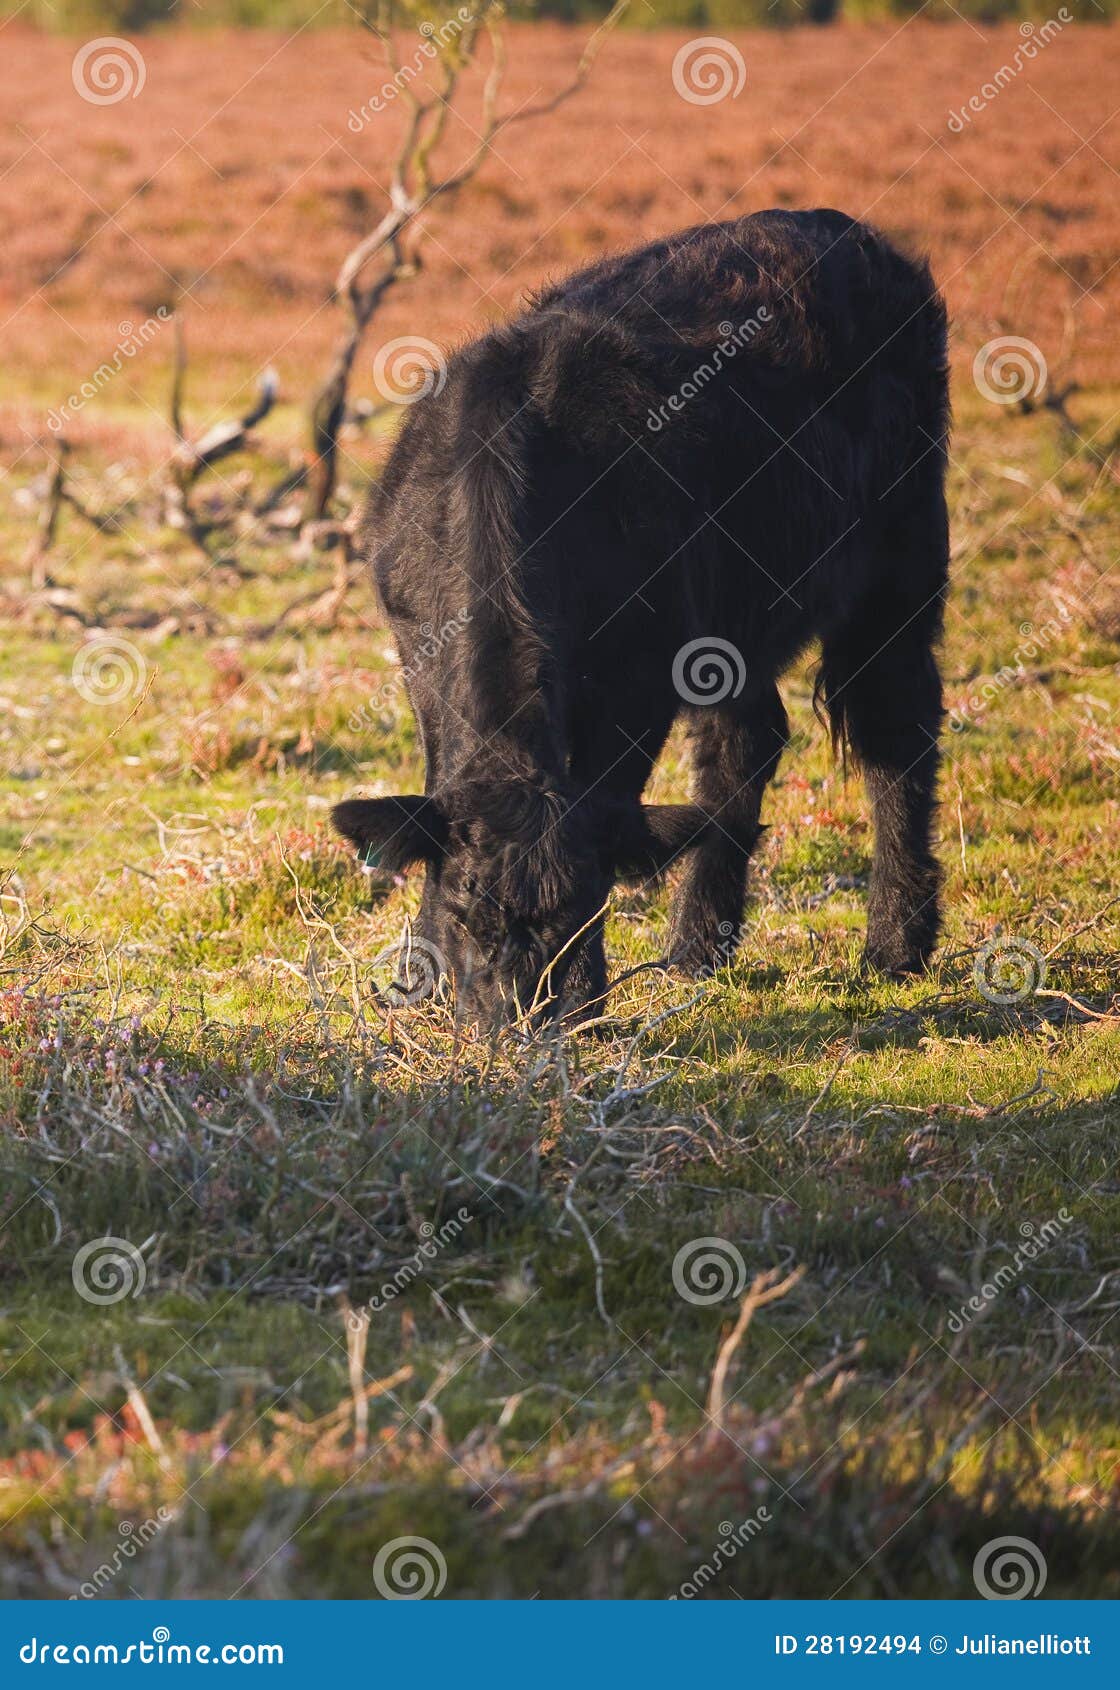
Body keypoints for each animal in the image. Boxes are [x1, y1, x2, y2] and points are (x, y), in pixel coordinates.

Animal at [333, 208, 950, 1027]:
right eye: (466, 912)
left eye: (576, 914)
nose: (514, 1022)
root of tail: (843, 229)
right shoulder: (419, 653)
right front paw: (424, 982)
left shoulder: (641, 676)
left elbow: (612, 800)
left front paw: (585, 1000)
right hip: (731, 624)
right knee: (745, 743)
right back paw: (696, 950)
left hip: (901, 565)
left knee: (894, 732)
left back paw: (896, 946)